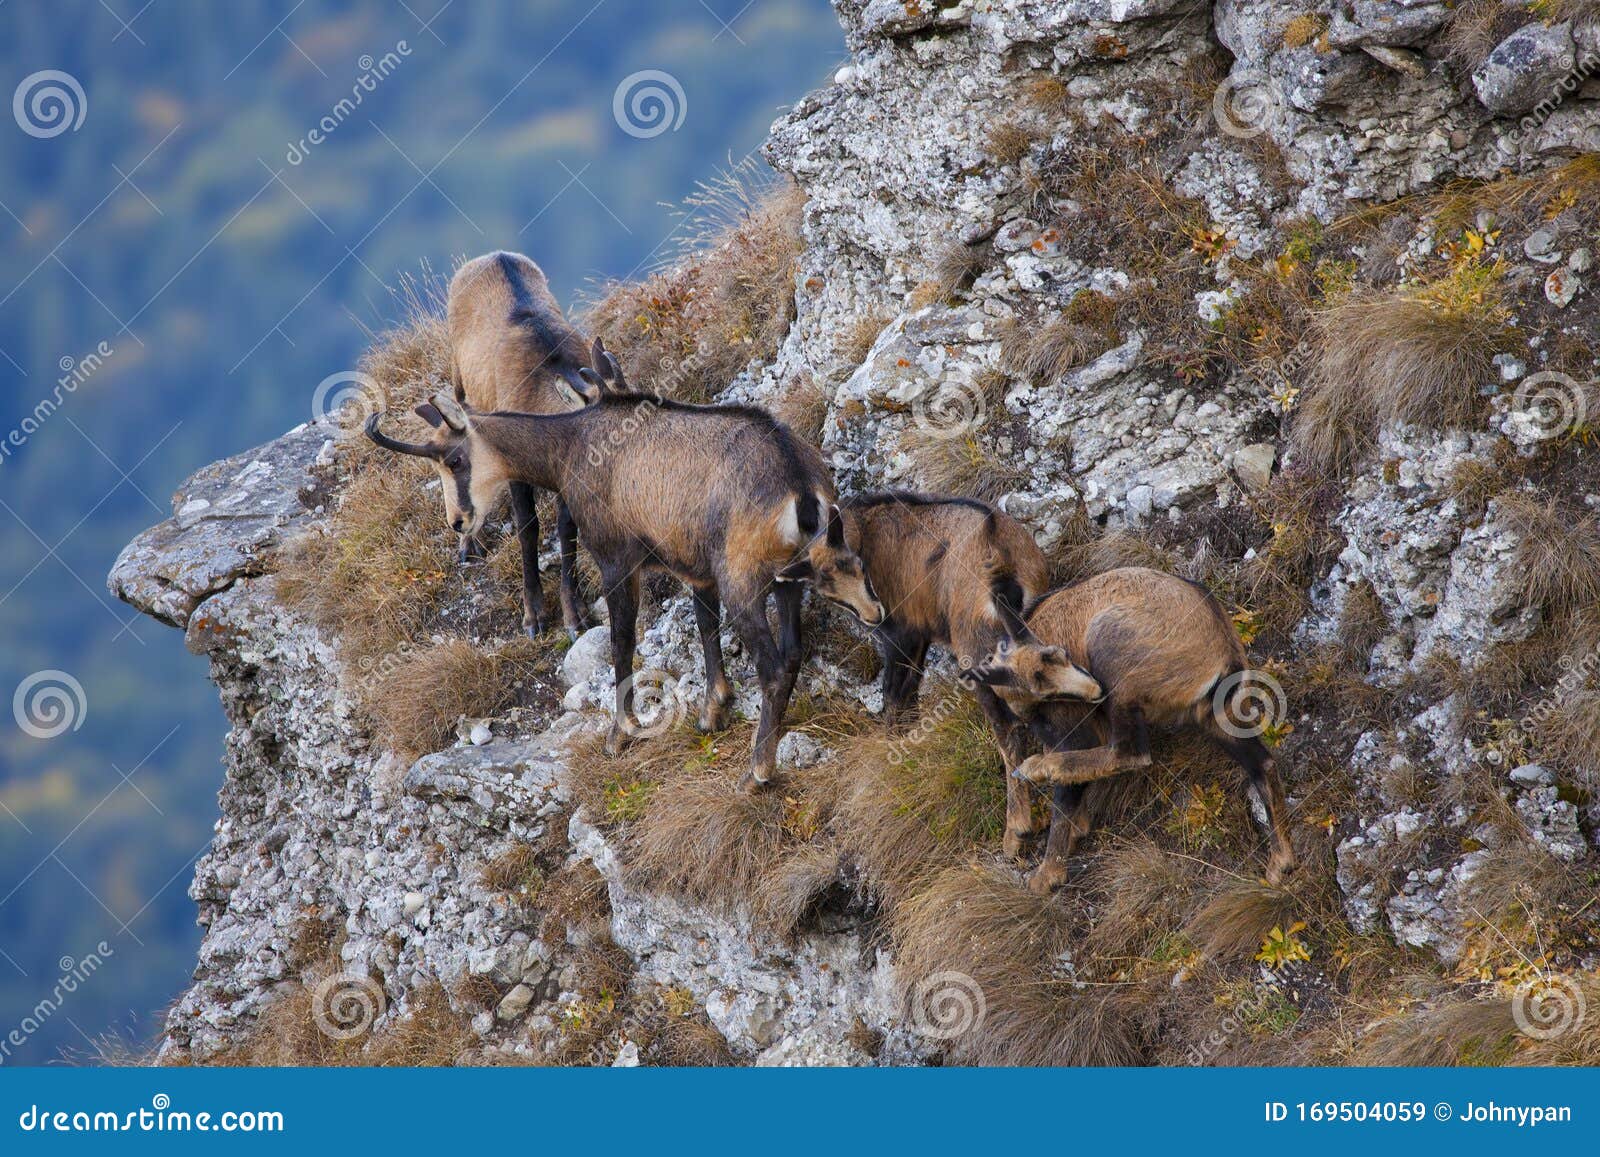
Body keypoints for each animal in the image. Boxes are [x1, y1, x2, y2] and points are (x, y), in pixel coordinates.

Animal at [364, 379, 884, 787]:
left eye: (454, 459)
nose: (458, 522)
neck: (571, 445)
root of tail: (798, 483)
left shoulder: (617, 560)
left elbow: (621, 642)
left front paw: (620, 732)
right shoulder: (696, 567)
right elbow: (705, 627)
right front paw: (712, 712)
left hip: (743, 578)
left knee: (773, 667)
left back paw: (757, 771)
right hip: (788, 577)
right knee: (793, 650)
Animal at [444, 251, 597, 638]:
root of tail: (489, 257)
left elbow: (567, 528)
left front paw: (575, 615)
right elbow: (528, 529)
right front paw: (533, 616)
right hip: (459, 379)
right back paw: (469, 543)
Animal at [843, 491, 1102, 847]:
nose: (1096, 690)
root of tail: (1000, 564)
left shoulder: (901, 633)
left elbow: (894, 694)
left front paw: (891, 750)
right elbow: (909, 688)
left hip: (974, 650)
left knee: (1007, 728)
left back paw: (1016, 829)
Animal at [973, 566, 1296, 894]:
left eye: (1047, 694)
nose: (1094, 691)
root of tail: (1223, 651)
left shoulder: (1075, 728)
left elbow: (1066, 794)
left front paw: (1046, 875)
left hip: (1113, 661)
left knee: (1131, 752)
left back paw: (1037, 768)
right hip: (1214, 716)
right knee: (1262, 763)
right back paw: (1281, 863)